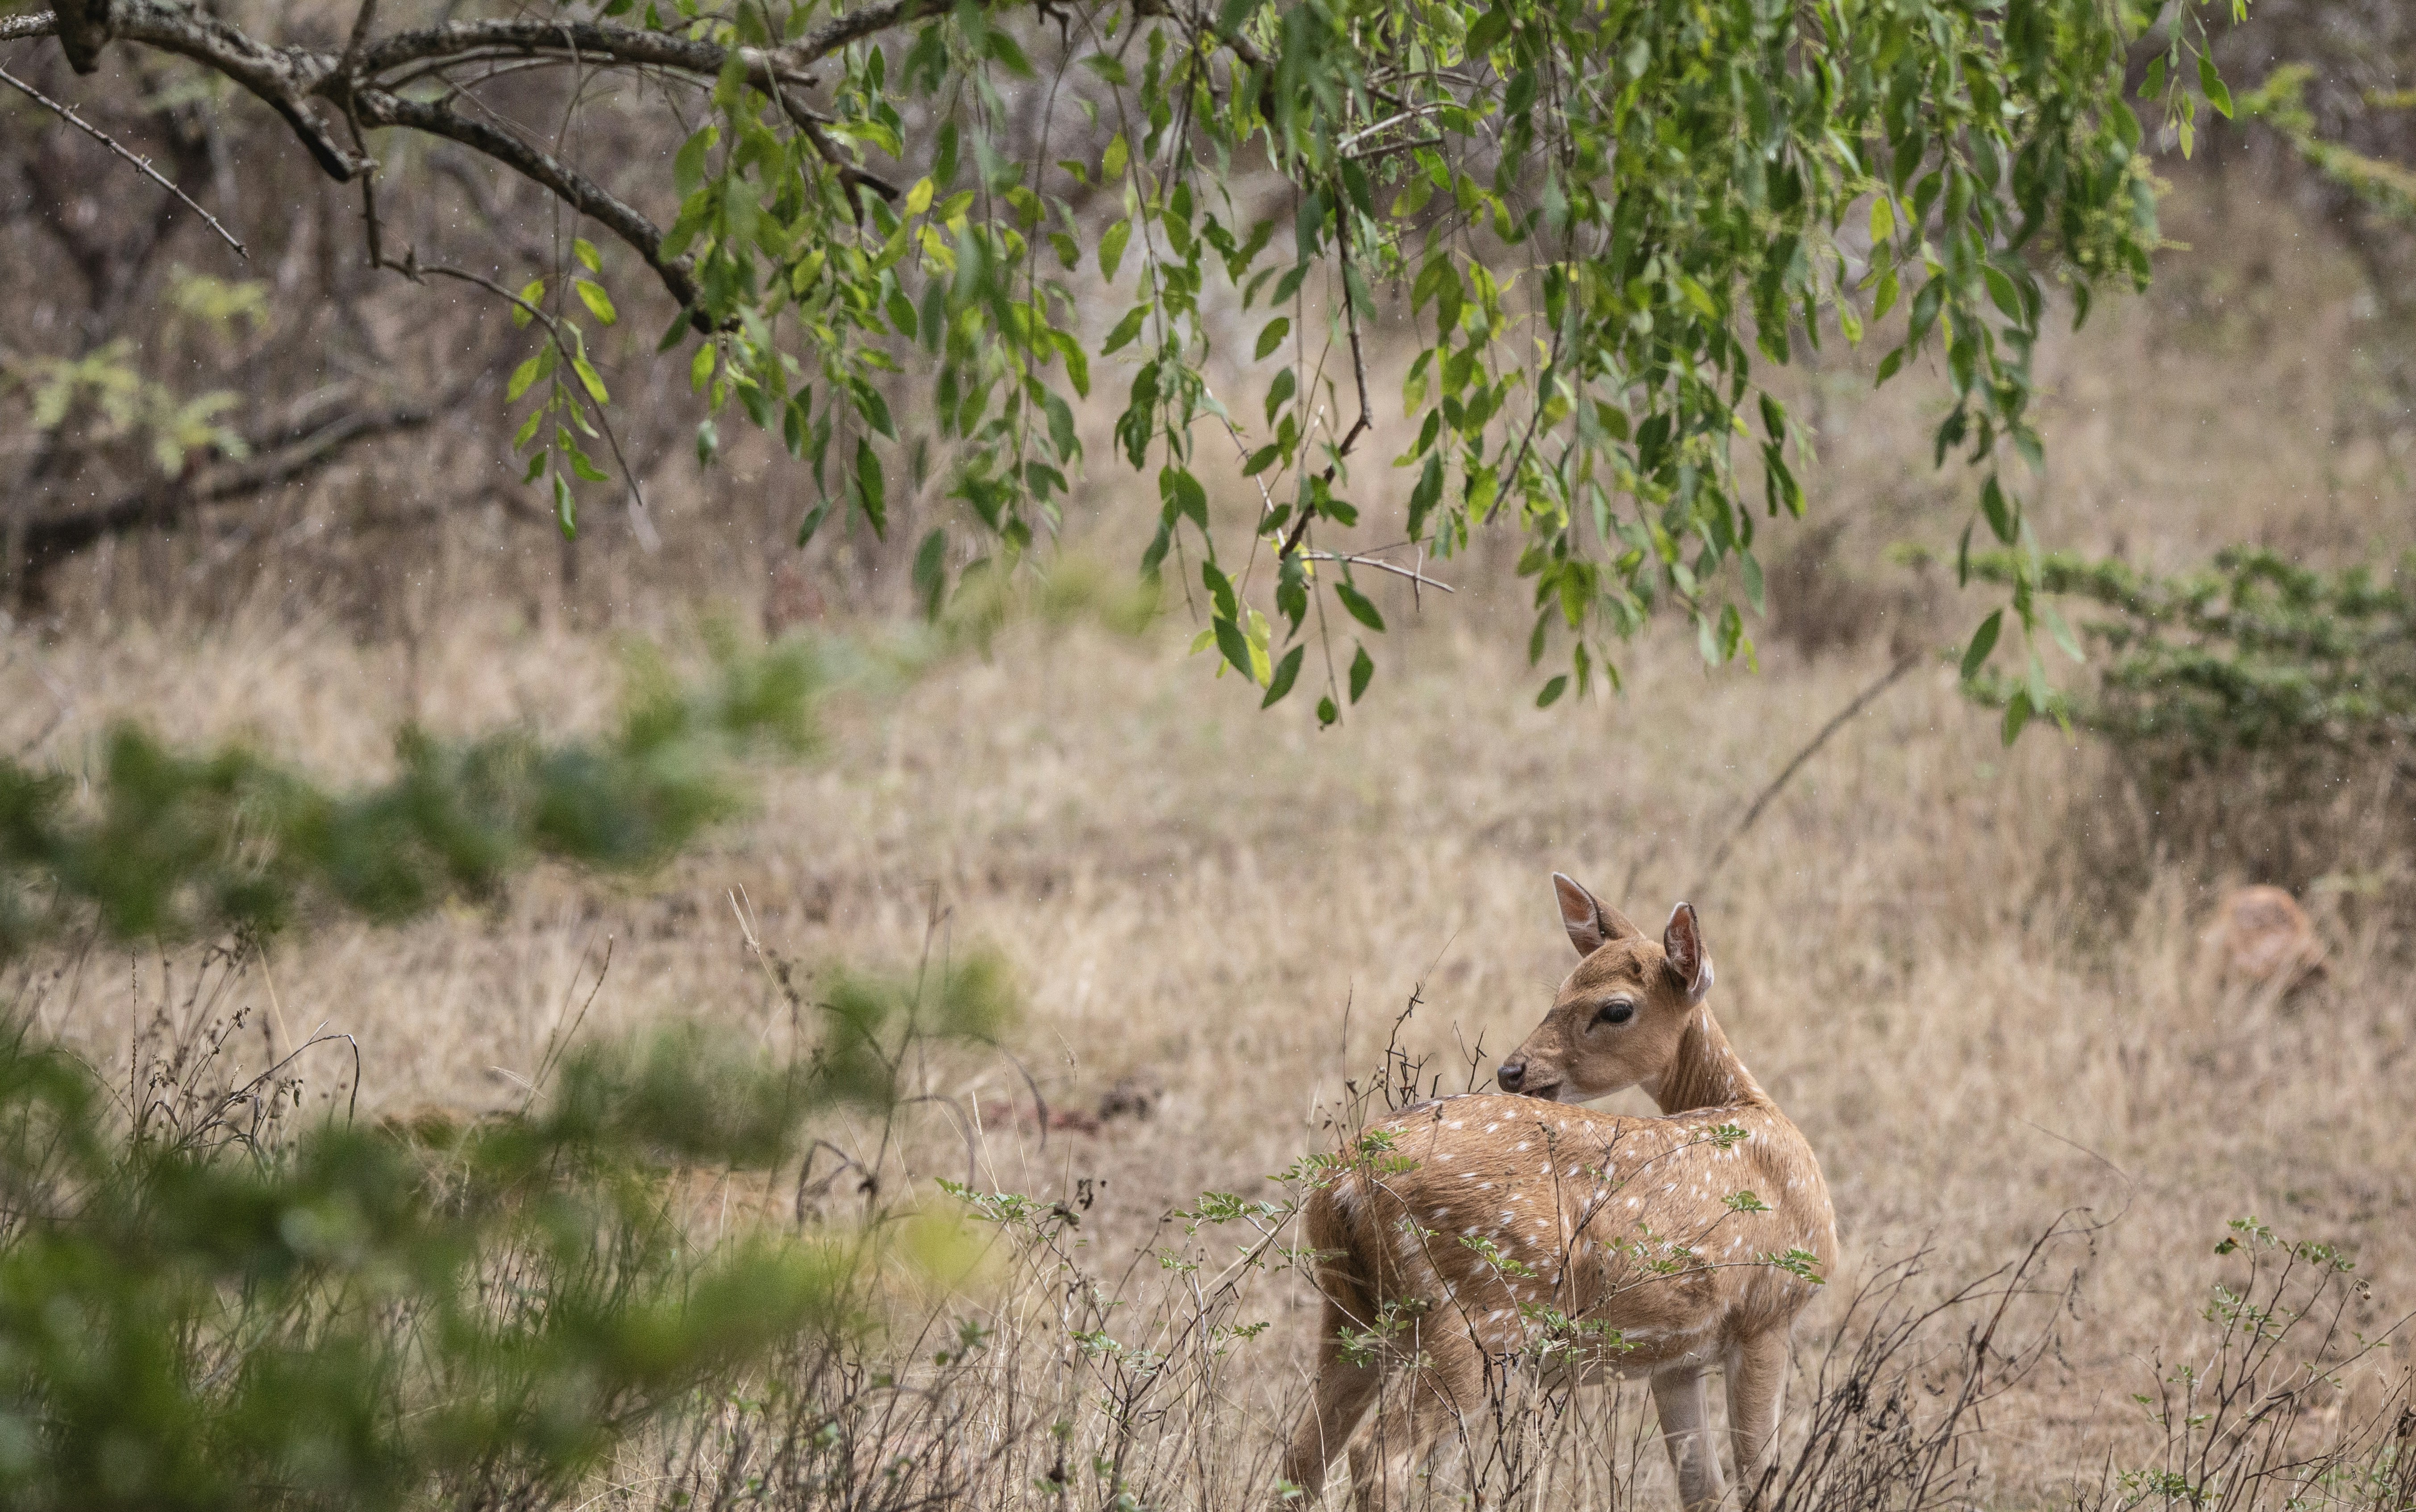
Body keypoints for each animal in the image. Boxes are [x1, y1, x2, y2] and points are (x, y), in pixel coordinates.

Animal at [1278, 874, 1838, 1511]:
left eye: (1614, 1007)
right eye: (1563, 989)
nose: (1512, 1070)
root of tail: (1345, 1181)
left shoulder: (1677, 1356)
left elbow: (1703, 1488)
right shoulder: (1769, 1311)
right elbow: (1759, 1481)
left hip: (1350, 1308)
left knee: (1303, 1454)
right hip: (1480, 1314)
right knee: (1377, 1456)